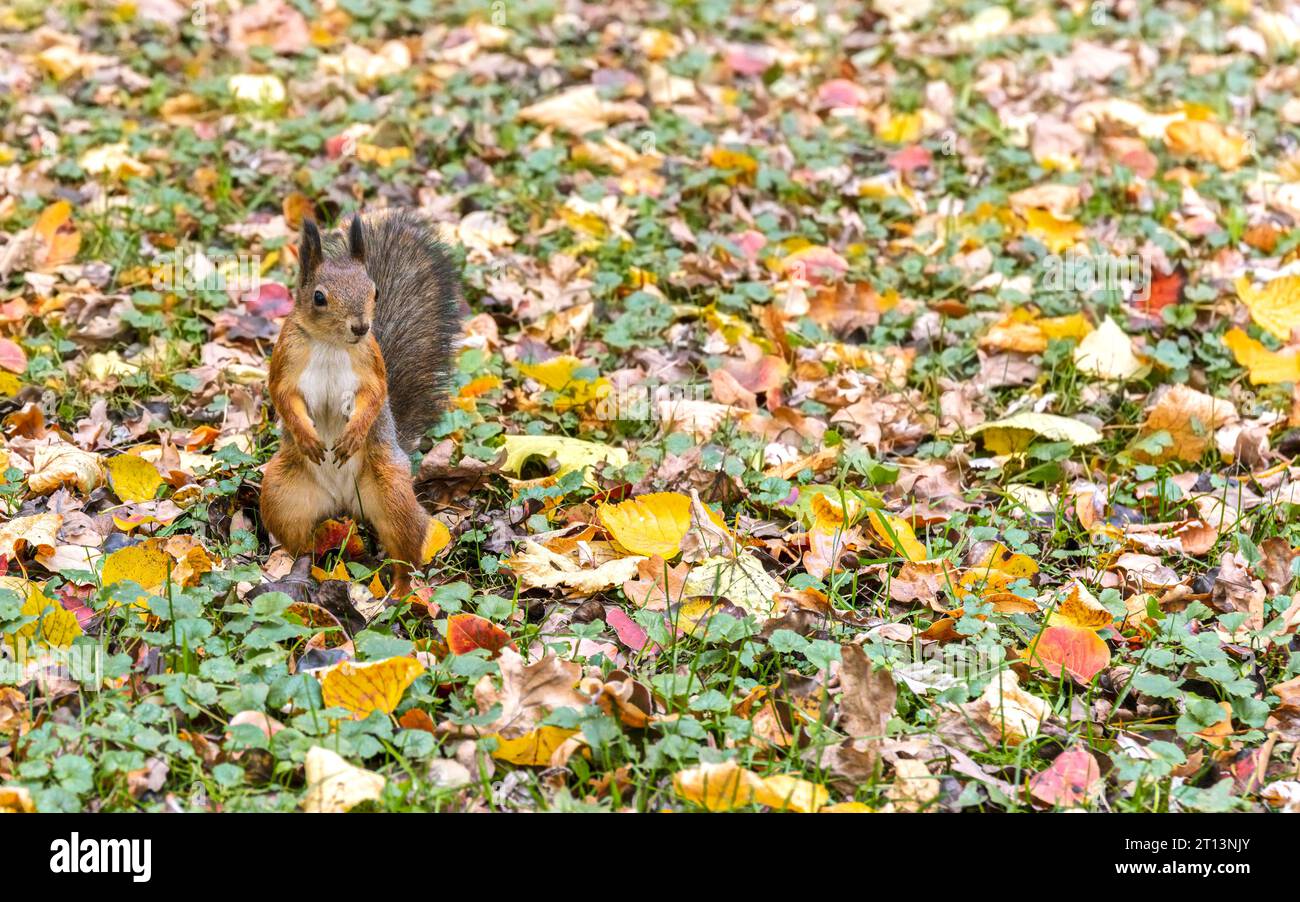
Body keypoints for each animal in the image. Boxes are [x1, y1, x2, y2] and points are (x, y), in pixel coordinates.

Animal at [260, 209, 462, 595]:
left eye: (375, 291)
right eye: (319, 297)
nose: (361, 327)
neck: (331, 344)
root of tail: (343, 500)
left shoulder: (371, 363)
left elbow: (375, 395)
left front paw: (353, 434)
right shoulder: (284, 360)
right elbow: (283, 395)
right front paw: (307, 436)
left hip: (392, 493)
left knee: (406, 550)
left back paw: (400, 590)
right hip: (282, 496)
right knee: (300, 541)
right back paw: (300, 568)